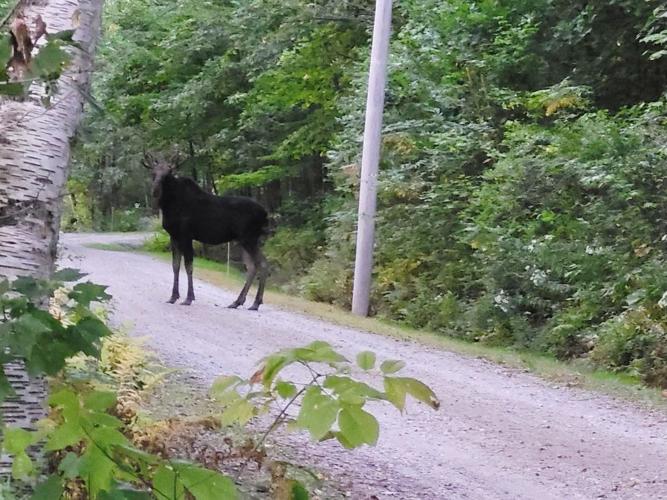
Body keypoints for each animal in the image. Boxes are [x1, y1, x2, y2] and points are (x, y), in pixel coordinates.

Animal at [143, 152, 270, 310]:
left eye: (168, 174)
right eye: (153, 173)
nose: (155, 191)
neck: (168, 205)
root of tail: (265, 213)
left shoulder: (186, 235)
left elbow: (189, 266)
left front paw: (189, 298)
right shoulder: (174, 236)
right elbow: (175, 266)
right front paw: (173, 297)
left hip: (249, 238)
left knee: (262, 264)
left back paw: (255, 303)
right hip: (243, 240)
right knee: (252, 267)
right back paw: (237, 301)